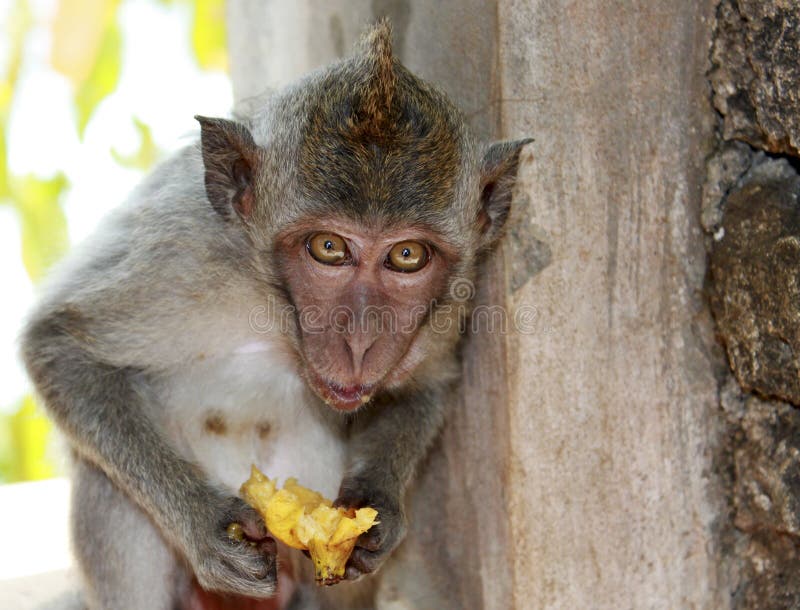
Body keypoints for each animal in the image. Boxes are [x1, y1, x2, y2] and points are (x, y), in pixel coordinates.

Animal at [21, 20, 530, 610]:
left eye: (407, 255)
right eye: (329, 247)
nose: (360, 343)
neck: (277, 318)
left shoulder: (453, 301)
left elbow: (423, 386)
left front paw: (379, 505)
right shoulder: (177, 251)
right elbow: (58, 344)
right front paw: (205, 524)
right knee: (107, 482)